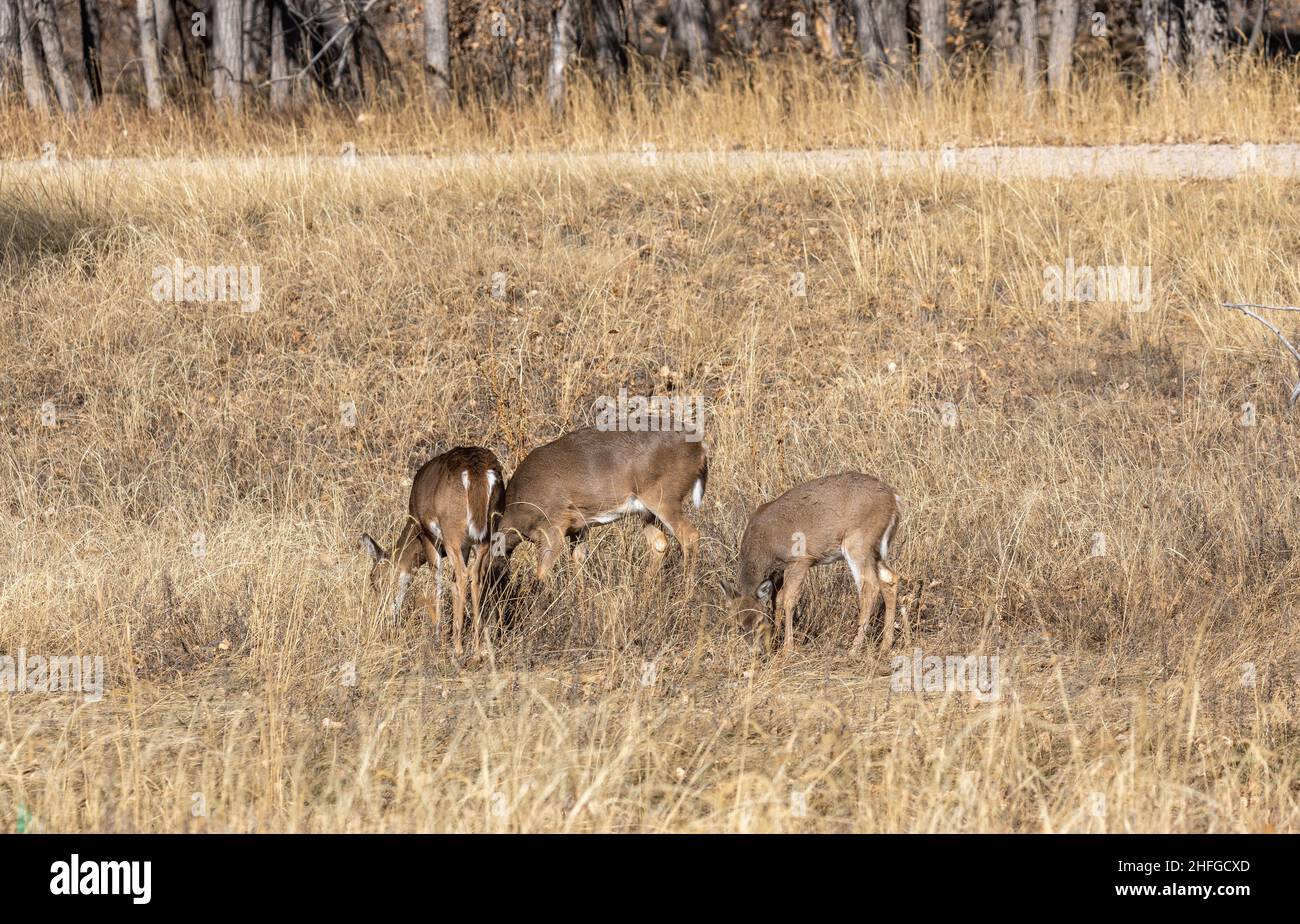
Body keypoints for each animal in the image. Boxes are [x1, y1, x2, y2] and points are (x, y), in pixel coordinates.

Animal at [360, 446, 505, 658]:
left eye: (375, 578)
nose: (382, 615)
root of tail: (476, 472)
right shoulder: (465, 546)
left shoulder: (428, 536)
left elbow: (437, 581)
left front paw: (437, 636)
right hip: (488, 531)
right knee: (475, 575)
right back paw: (478, 649)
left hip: (451, 530)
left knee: (463, 575)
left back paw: (458, 648)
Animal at [496, 428, 707, 584]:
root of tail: (700, 449)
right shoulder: (579, 527)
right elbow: (578, 561)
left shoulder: (553, 525)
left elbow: (541, 574)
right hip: (647, 511)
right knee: (660, 543)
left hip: (664, 497)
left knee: (690, 535)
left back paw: (685, 595)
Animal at [722, 472, 902, 656]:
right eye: (738, 626)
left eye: (759, 621)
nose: (756, 652)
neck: (765, 546)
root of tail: (894, 498)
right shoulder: (778, 571)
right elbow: (776, 601)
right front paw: (776, 640)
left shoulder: (800, 560)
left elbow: (788, 600)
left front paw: (787, 648)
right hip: (875, 550)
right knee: (890, 578)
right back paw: (885, 645)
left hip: (858, 543)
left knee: (869, 586)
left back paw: (854, 648)